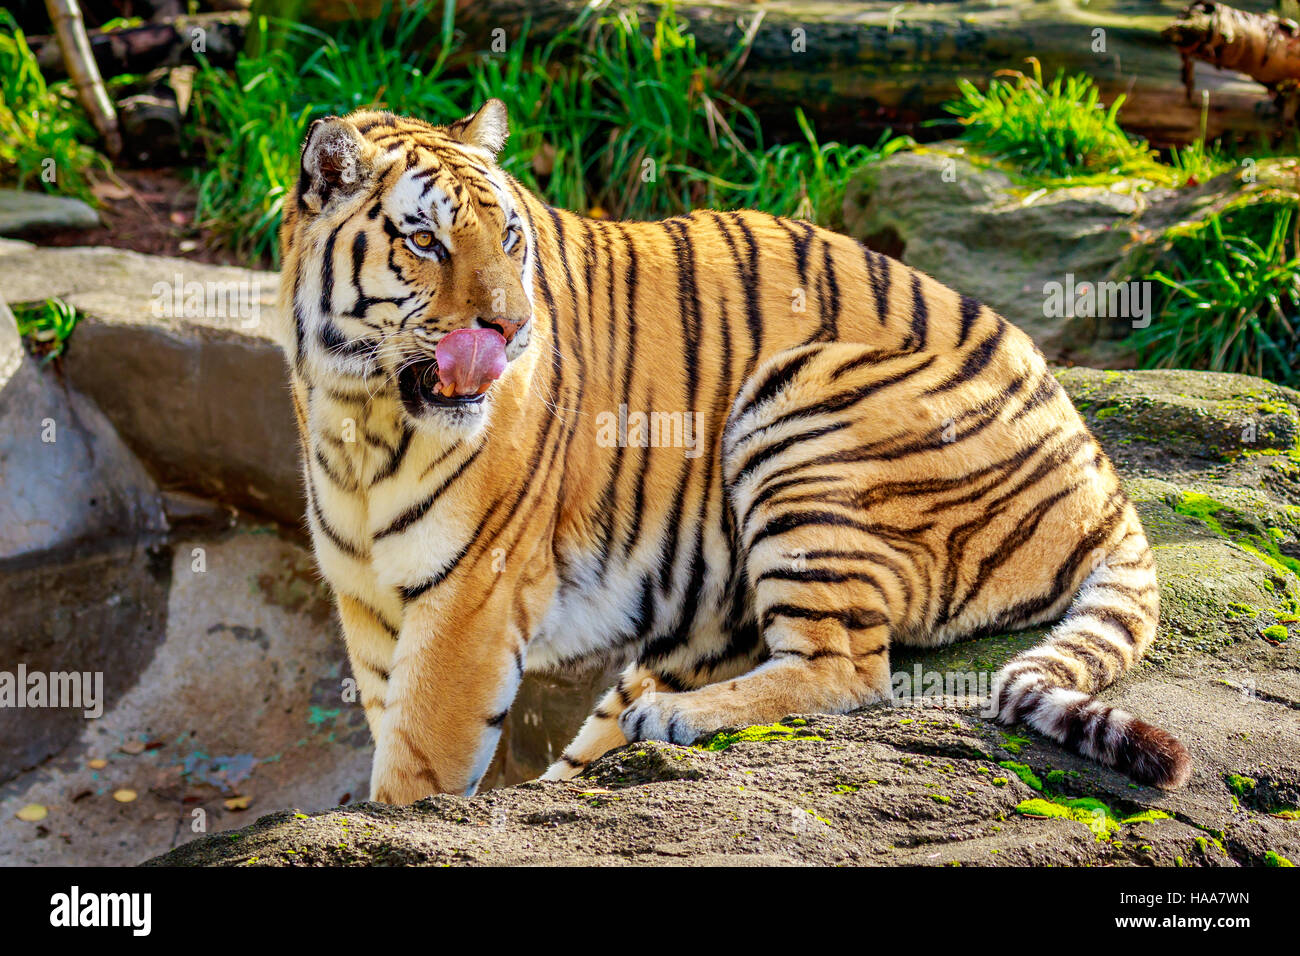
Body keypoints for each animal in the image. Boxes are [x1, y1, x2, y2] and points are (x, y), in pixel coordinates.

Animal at [276, 99, 1192, 805]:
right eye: (425, 242)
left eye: (508, 239)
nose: (511, 327)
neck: (361, 413)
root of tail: (1104, 480)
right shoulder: (366, 602)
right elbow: (390, 726)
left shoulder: (474, 593)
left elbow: (416, 766)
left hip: (802, 412)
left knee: (850, 669)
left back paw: (679, 720)